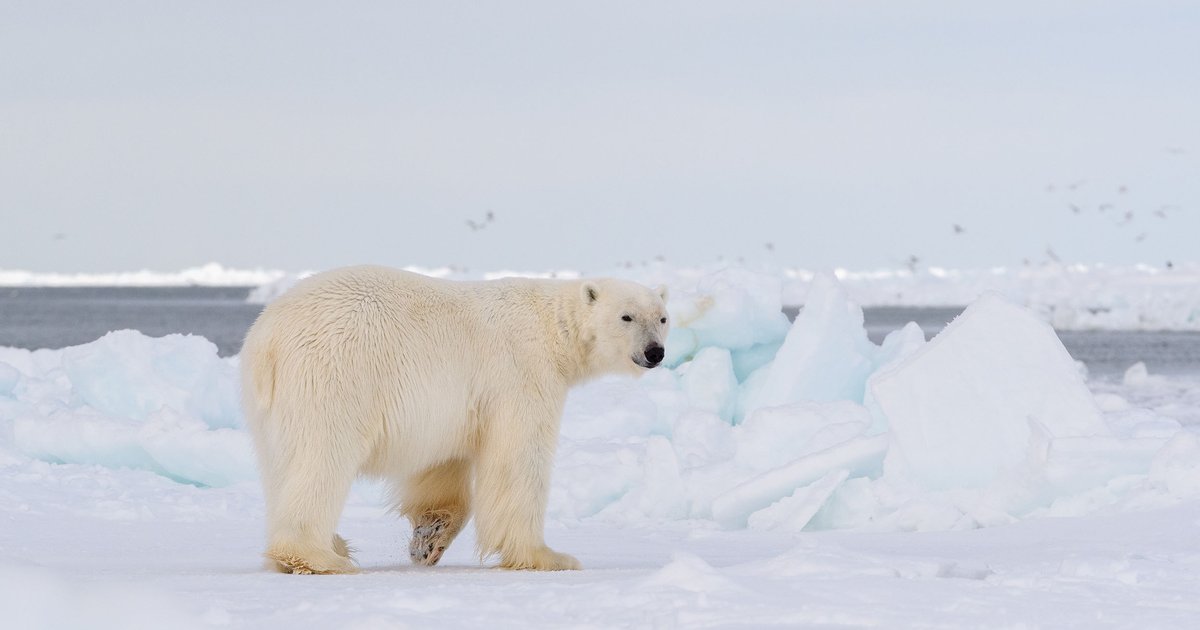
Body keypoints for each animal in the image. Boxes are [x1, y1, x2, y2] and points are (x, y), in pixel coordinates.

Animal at [239, 265, 669, 574]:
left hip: (269, 408)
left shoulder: (458, 403)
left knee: (281, 467)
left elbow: (443, 462)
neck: (553, 328)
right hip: (334, 374)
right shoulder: (520, 373)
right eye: (627, 317)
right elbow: (518, 459)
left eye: (662, 317)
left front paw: (429, 538)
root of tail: (267, 338)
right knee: (322, 457)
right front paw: (548, 556)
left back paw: (328, 545)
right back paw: (320, 557)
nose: (655, 352)